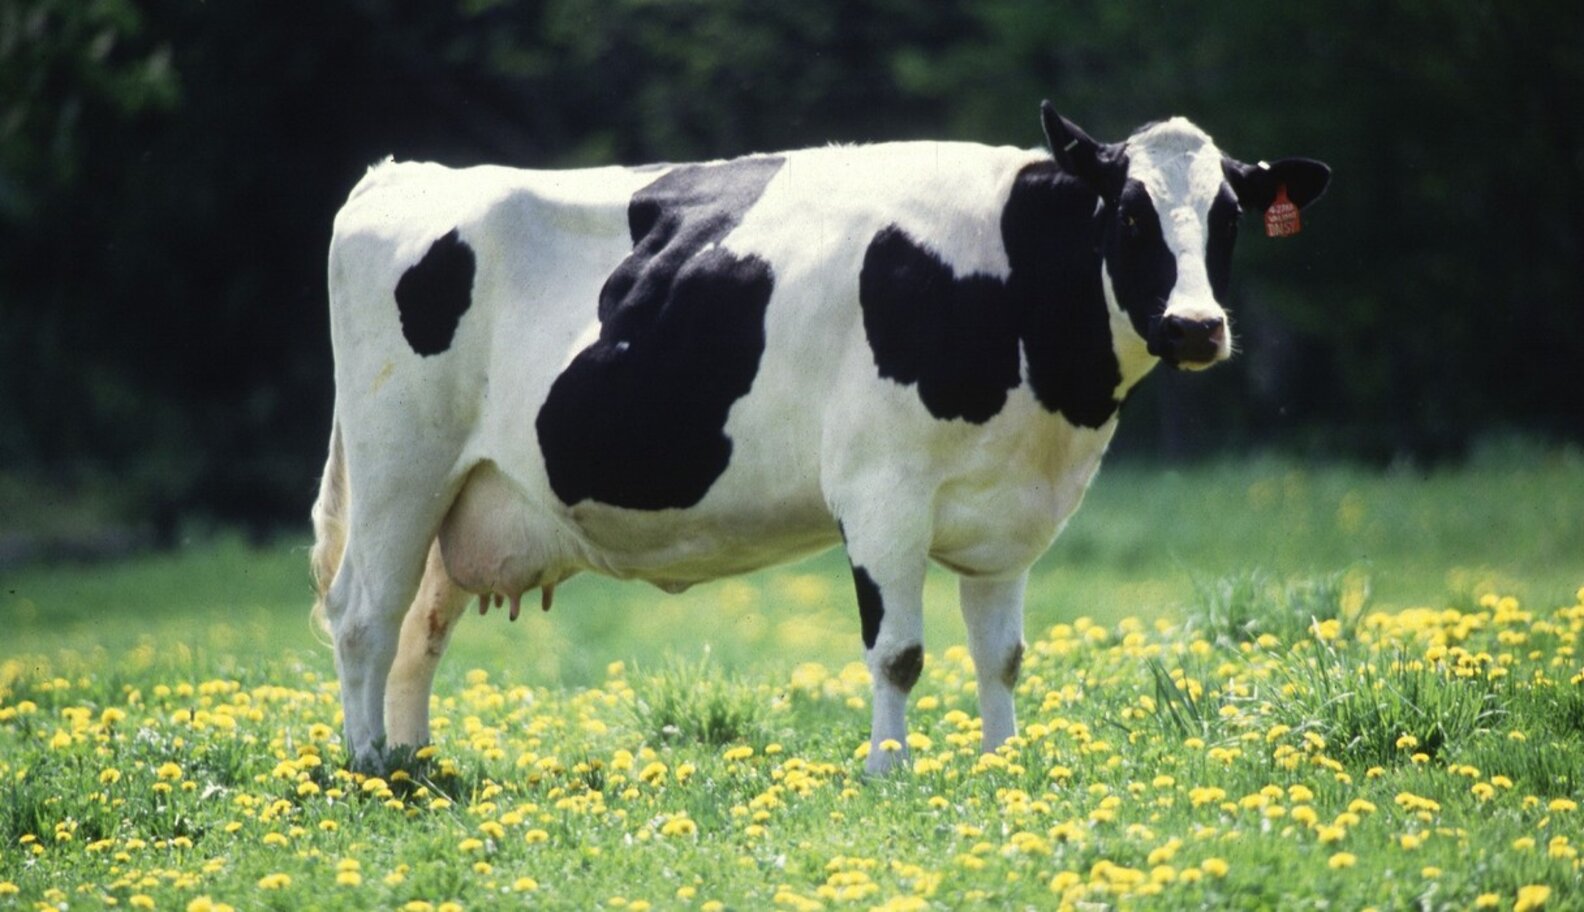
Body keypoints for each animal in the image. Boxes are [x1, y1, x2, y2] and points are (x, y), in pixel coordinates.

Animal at [311, 101, 1329, 774]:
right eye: (1128, 212)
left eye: (1229, 216)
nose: (1196, 326)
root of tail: (402, 174)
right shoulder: (882, 492)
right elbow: (900, 652)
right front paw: (889, 772)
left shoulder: (1009, 516)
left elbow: (1001, 654)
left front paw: (1003, 766)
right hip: (400, 466)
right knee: (364, 614)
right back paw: (369, 769)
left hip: (465, 492)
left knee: (420, 627)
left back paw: (415, 763)